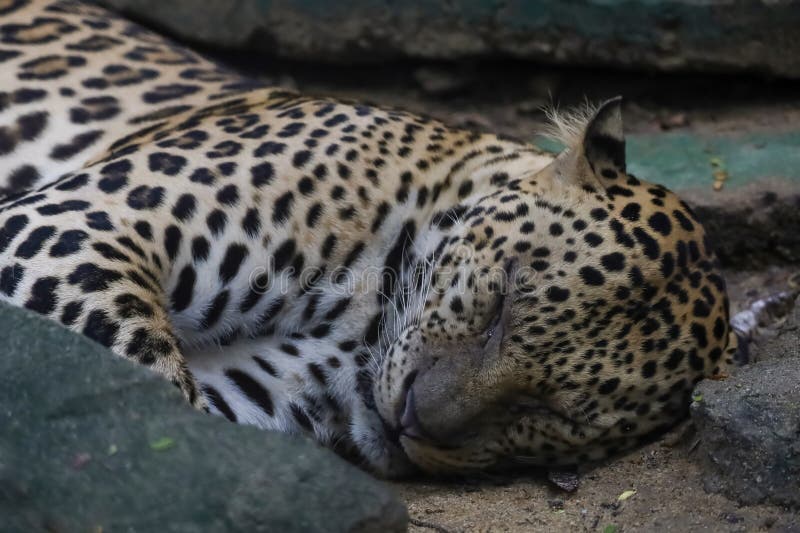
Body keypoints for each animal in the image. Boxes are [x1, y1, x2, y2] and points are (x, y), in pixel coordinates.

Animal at [0, 0, 738, 478]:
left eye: (560, 413)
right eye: (502, 300)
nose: (414, 418)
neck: (364, 318)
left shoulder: (249, 391)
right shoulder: (76, 225)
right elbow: (147, 377)